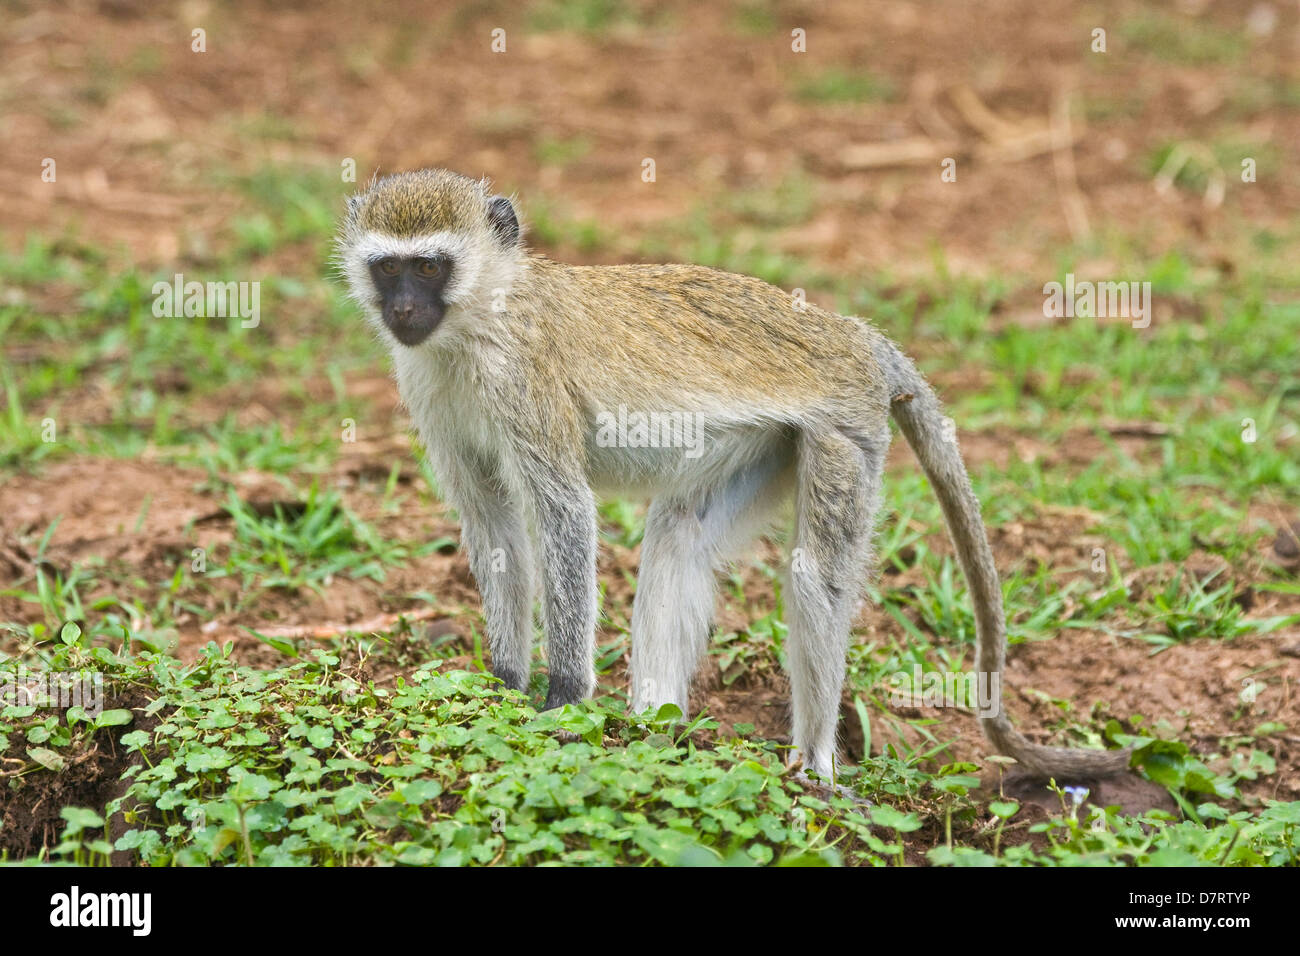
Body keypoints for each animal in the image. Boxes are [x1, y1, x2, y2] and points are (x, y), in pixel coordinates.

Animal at [336, 168, 1131, 782]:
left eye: (431, 266)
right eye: (388, 267)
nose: (403, 307)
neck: (478, 321)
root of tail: (856, 336)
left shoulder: (523, 381)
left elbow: (563, 511)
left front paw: (562, 695)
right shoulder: (429, 384)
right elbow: (493, 519)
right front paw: (503, 681)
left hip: (846, 433)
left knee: (816, 578)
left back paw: (817, 765)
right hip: (767, 445)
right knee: (680, 538)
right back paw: (653, 730)